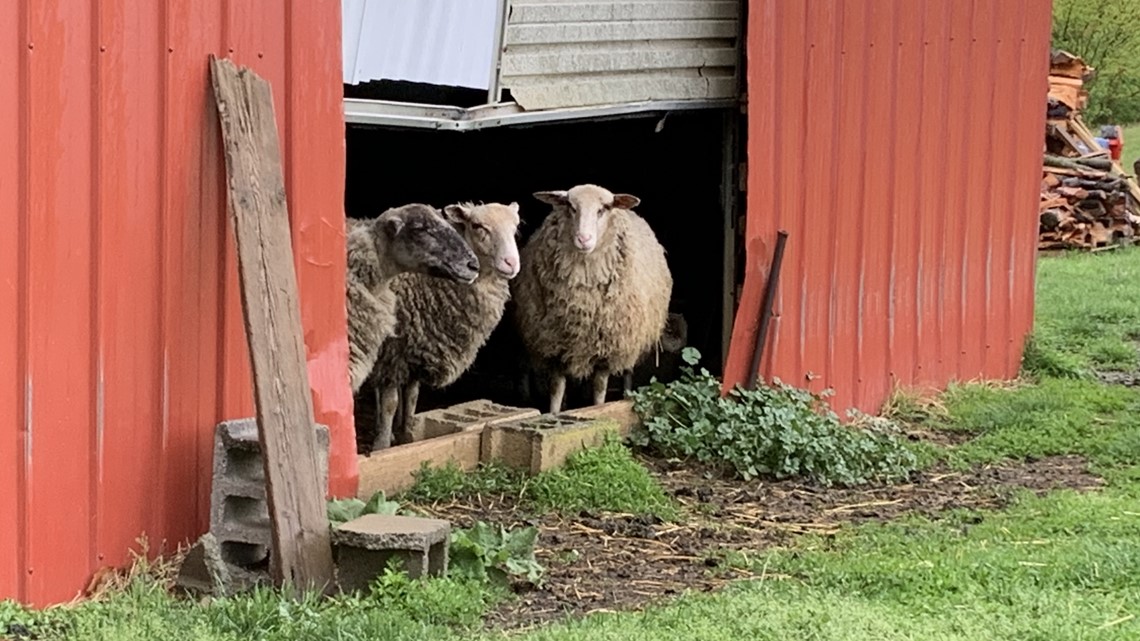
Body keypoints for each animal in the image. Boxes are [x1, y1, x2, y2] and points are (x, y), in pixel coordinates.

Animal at [364, 201, 522, 451]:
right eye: (478, 226)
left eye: (515, 228)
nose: (511, 263)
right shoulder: (394, 353)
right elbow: (391, 402)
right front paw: (381, 446)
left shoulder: (417, 349)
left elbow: (412, 397)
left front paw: (407, 434)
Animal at [511, 184, 673, 414]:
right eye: (571, 207)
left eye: (603, 209)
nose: (583, 239)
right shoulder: (556, 344)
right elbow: (557, 388)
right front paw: (554, 413)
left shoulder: (607, 350)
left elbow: (599, 389)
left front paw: (598, 409)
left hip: (629, 337)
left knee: (627, 370)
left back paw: (626, 395)